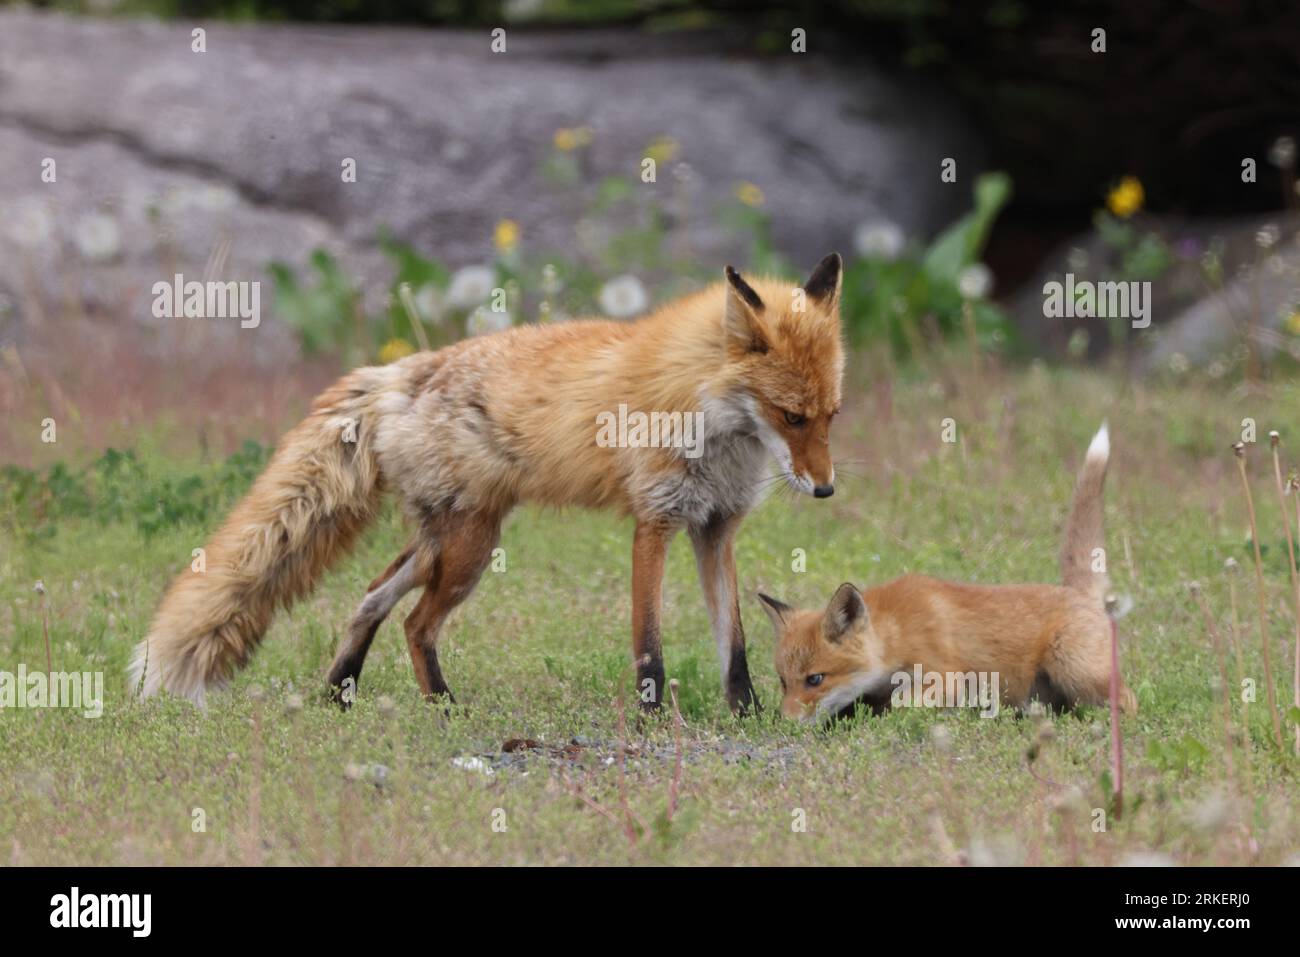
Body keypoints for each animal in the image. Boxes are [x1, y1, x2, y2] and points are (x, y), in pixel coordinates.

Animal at [130, 254, 846, 714]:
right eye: (791, 417)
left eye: (832, 416)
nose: (825, 491)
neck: (709, 414)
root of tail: (403, 373)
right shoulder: (656, 521)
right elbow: (649, 646)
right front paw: (652, 722)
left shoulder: (716, 527)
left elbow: (734, 645)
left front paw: (748, 716)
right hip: (470, 547)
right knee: (415, 624)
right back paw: (445, 708)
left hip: (443, 542)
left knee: (369, 598)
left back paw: (340, 693)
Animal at [757, 423, 1138, 722]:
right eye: (783, 681)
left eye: (815, 679)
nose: (785, 724)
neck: (897, 630)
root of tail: (1075, 591)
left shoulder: (947, 677)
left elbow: (901, 702)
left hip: (1073, 666)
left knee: (1128, 699)